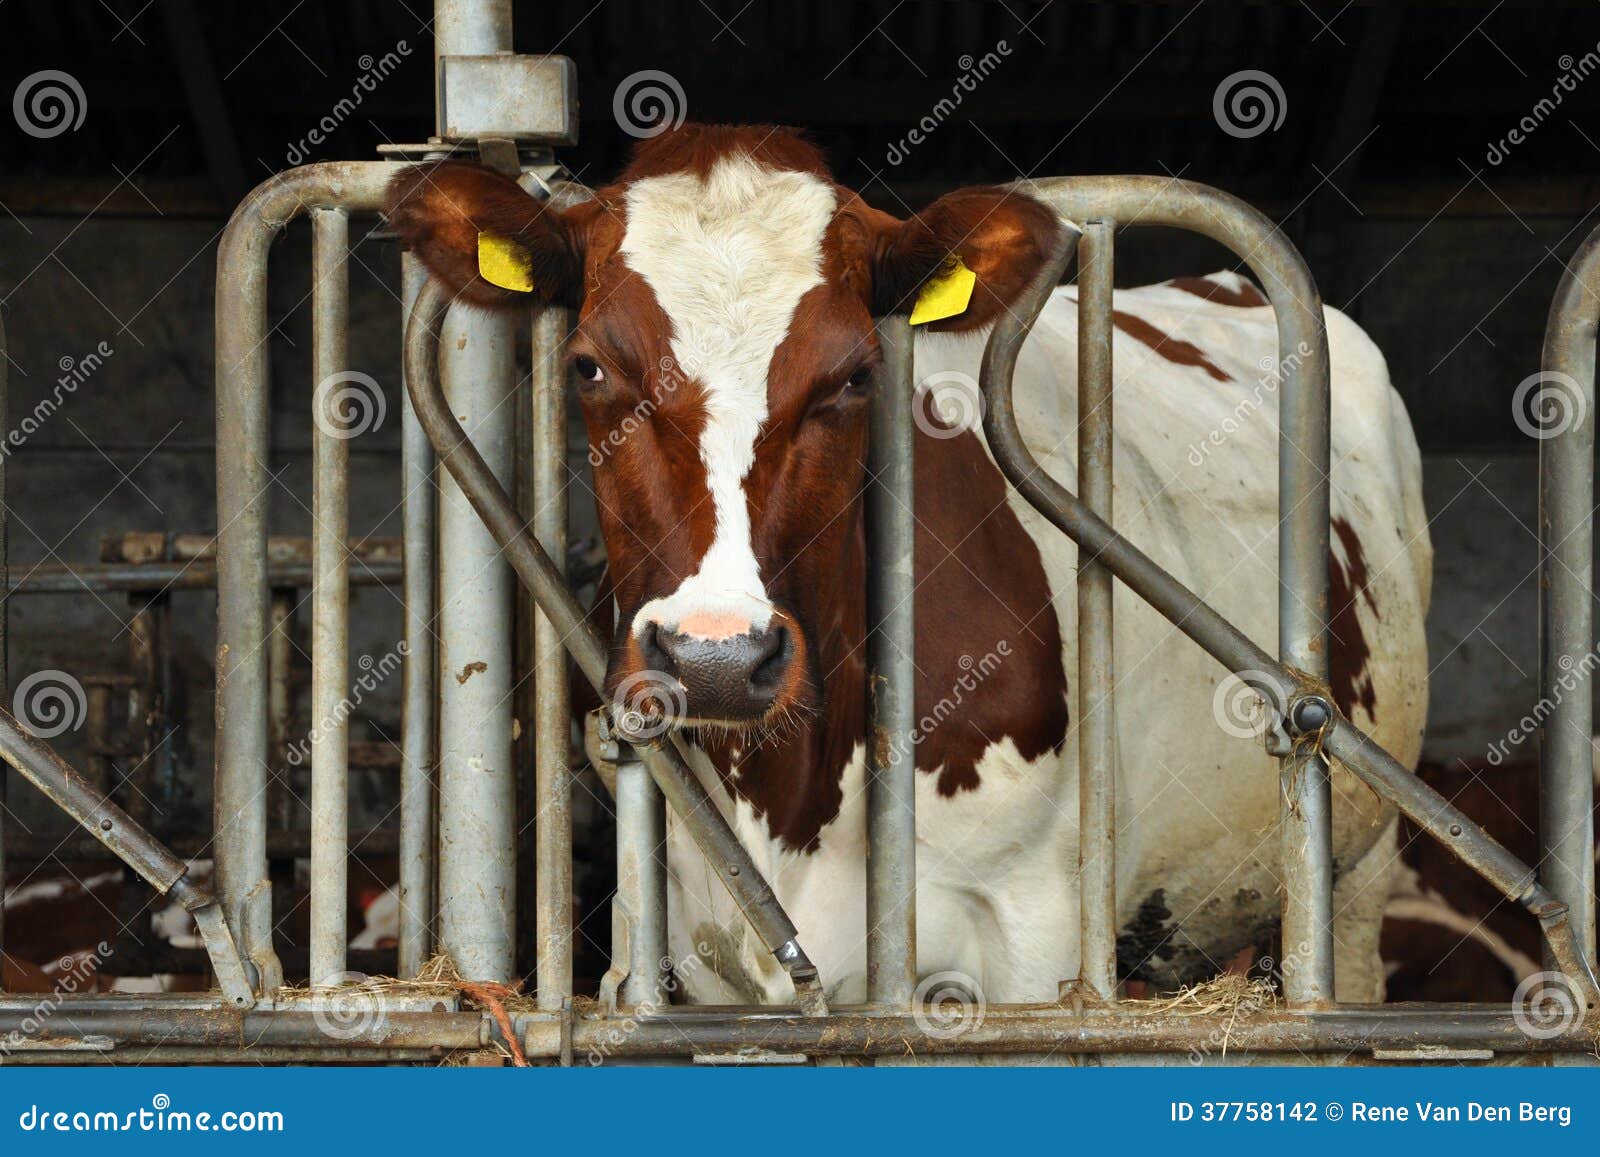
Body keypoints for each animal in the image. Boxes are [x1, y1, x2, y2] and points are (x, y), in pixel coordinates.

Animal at [387, 123, 1431, 1005]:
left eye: (855, 375)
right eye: (592, 367)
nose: (717, 658)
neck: (790, 797)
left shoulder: (1032, 932)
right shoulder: (692, 943)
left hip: (1358, 865)